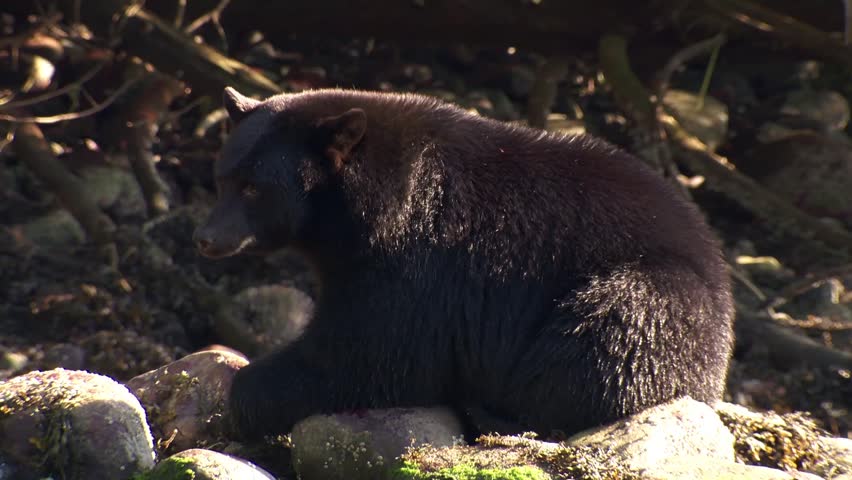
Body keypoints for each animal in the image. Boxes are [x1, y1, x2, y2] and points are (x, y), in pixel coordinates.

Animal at [193, 86, 735, 441]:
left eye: (254, 188)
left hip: (657, 293)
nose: (207, 240)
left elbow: (374, 352)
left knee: (606, 339)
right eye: (222, 177)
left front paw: (246, 394)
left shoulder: (413, 261)